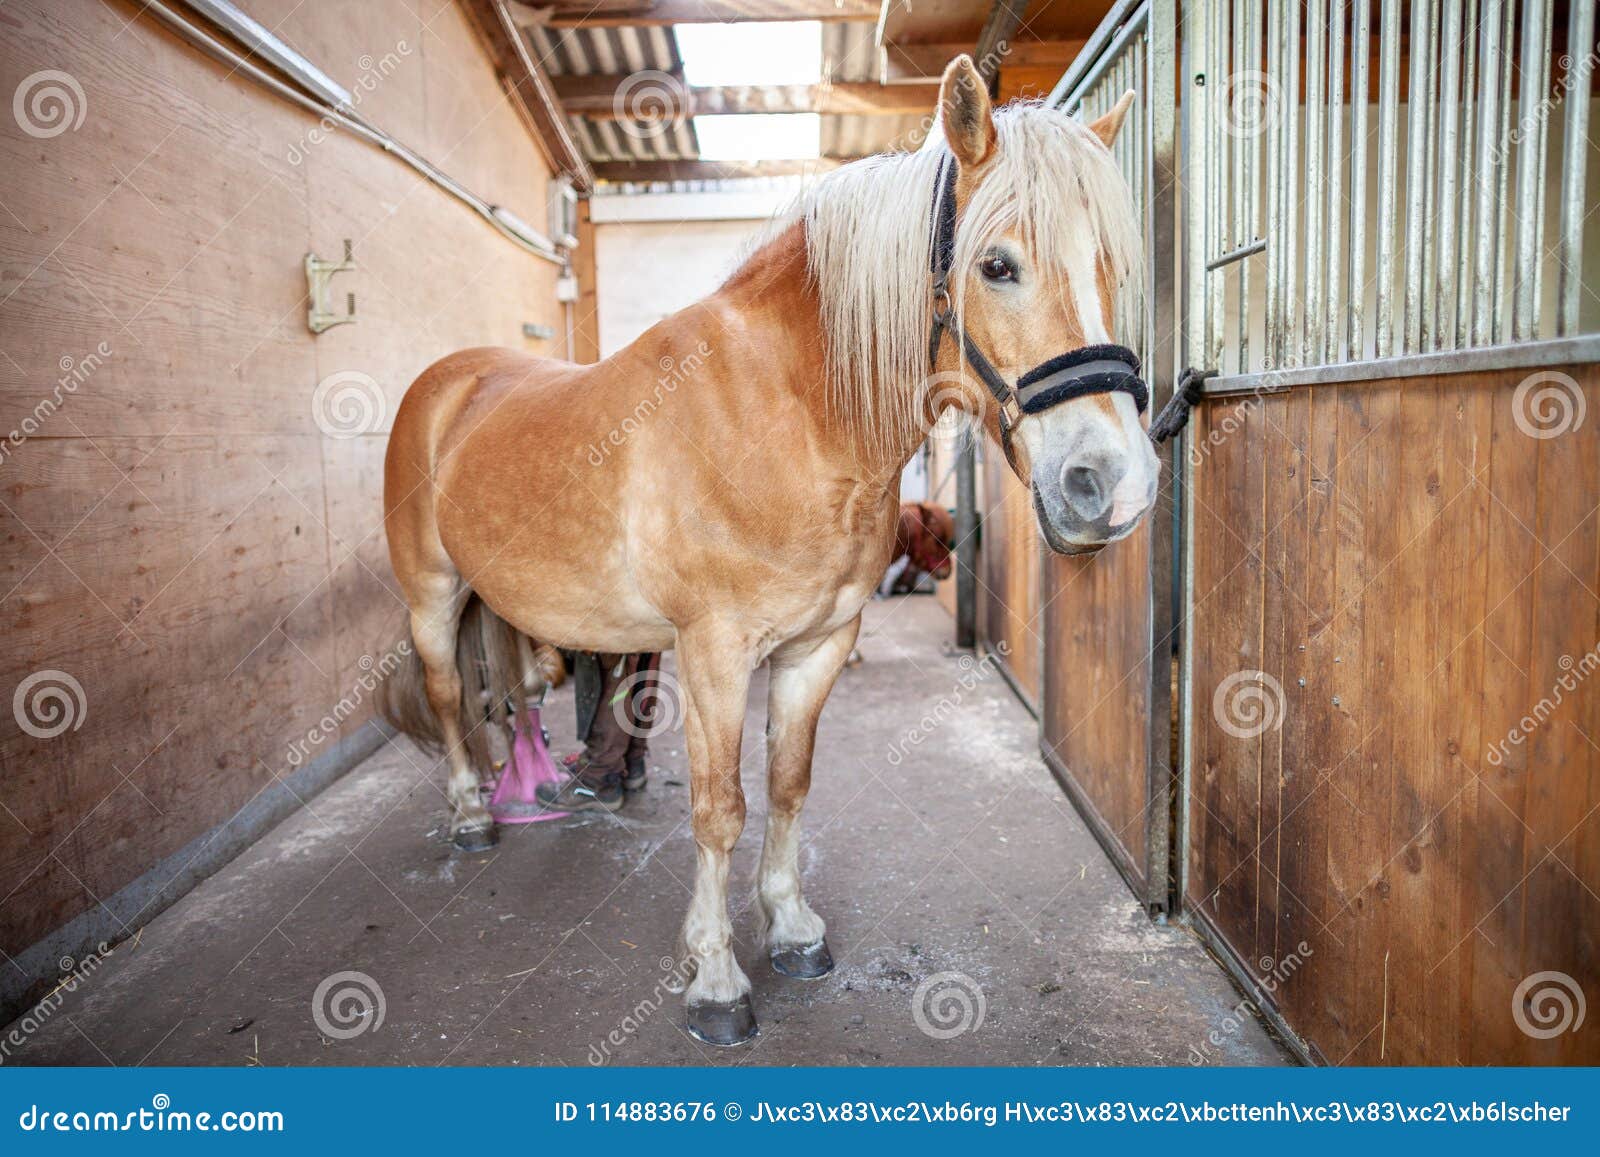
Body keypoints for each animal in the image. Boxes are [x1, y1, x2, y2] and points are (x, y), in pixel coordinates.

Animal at [380, 56, 1156, 1046]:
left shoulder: (817, 646)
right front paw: (715, 978)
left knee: (515, 690)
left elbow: (788, 784)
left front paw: (790, 928)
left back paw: (536, 783)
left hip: (499, 595)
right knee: (449, 694)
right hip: (433, 595)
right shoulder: (714, 655)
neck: (785, 412)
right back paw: (475, 812)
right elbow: (721, 809)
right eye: (997, 264)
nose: (1115, 482)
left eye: (1111, 264)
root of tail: (447, 382)